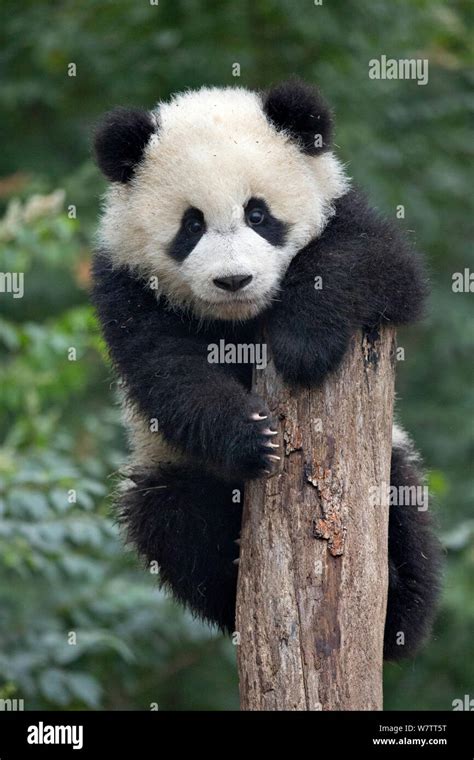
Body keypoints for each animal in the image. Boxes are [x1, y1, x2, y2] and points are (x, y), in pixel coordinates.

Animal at [92, 79, 441, 660]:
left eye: (258, 214)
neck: (242, 319)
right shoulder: (126, 285)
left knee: (405, 511)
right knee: (169, 518)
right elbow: (166, 372)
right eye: (191, 225)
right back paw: (230, 566)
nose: (234, 280)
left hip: (389, 456)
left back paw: (397, 608)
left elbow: (378, 266)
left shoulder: (345, 213)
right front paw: (252, 437)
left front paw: (303, 342)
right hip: (168, 465)